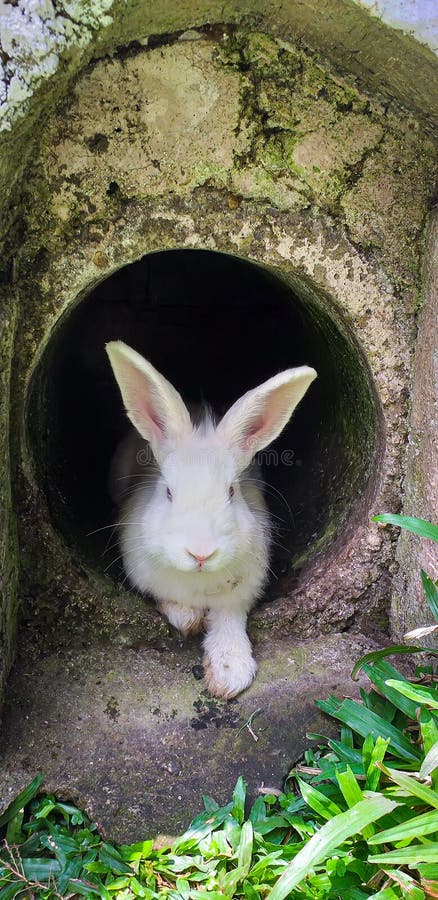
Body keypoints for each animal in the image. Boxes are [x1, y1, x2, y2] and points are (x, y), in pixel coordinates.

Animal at [106, 341, 317, 699]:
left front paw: (229, 673)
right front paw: (188, 619)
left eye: (232, 491)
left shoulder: (241, 591)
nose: (201, 553)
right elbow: (175, 604)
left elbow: (229, 617)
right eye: (168, 492)